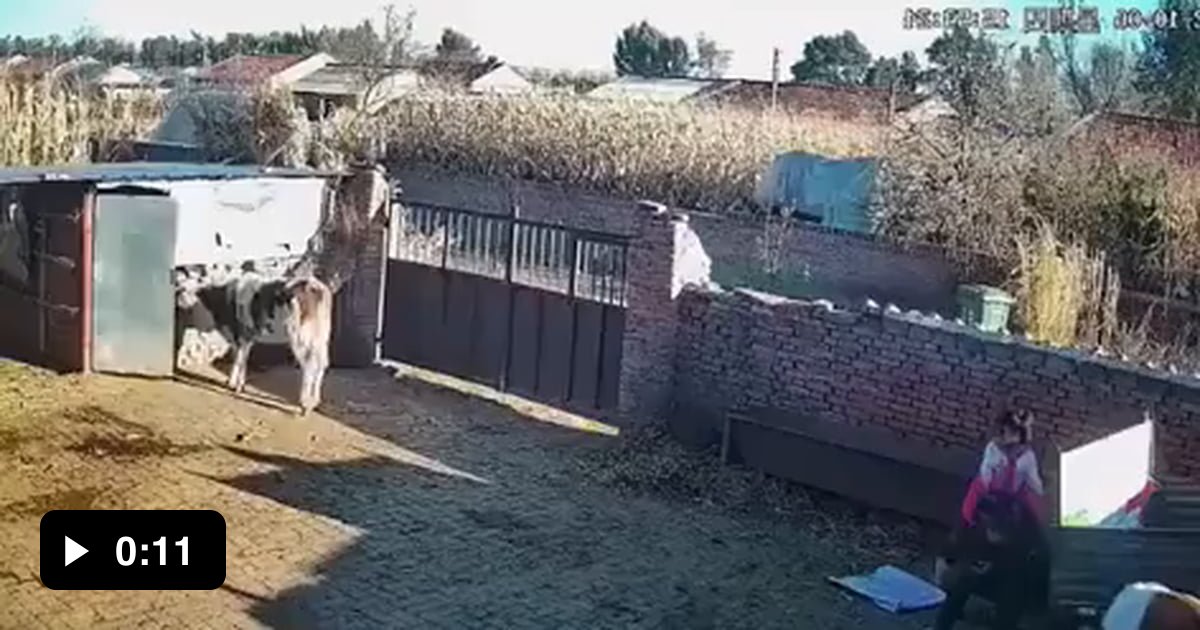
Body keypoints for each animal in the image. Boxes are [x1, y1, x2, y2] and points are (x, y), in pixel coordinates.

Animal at [176, 272, 333, 415]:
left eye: (185, 291)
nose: (178, 303)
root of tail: (313, 284)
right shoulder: (245, 337)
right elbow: (242, 359)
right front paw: (236, 383)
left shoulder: (241, 334)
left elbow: (239, 360)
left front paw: (235, 386)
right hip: (321, 337)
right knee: (321, 364)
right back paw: (314, 401)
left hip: (300, 336)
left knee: (309, 366)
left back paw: (304, 405)